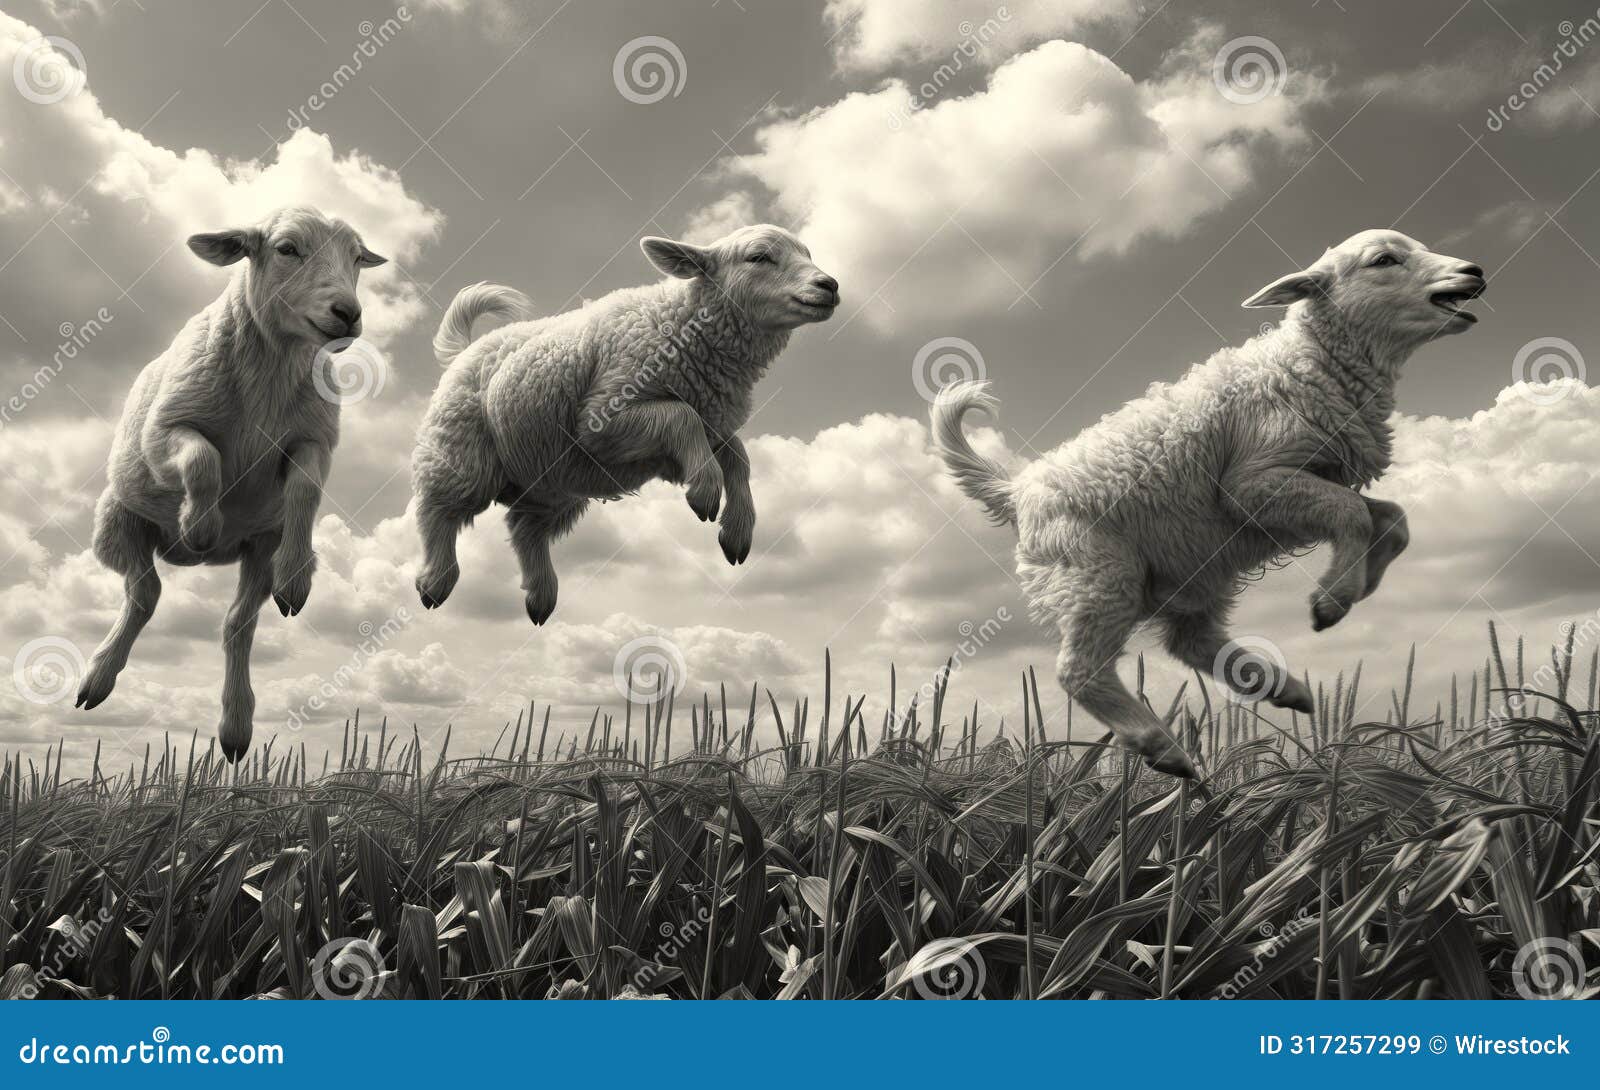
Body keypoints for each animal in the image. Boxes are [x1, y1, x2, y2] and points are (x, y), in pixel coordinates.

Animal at [75, 206, 387, 761]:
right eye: (286, 249)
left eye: (356, 258)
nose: (348, 313)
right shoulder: (165, 432)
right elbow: (204, 460)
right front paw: (199, 524)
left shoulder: (314, 442)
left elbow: (305, 490)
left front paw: (298, 577)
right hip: (115, 521)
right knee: (143, 592)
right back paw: (99, 676)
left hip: (260, 546)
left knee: (236, 625)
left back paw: (236, 726)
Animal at [409, 224, 839, 622]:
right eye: (758, 257)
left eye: (807, 253)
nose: (830, 285)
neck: (681, 325)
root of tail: (465, 350)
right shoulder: (601, 420)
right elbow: (681, 417)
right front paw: (704, 492)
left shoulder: (709, 423)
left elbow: (738, 457)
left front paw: (737, 531)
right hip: (461, 451)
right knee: (437, 508)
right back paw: (435, 581)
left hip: (553, 483)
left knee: (524, 528)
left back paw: (540, 597)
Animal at [933, 229, 1486, 778]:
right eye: (1383, 260)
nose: (1475, 271)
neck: (1310, 361)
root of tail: (1018, 491)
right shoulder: (1255, 483)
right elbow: (1354, 515)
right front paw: (1333, 599)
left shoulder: (1308, 483)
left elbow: (1393, 521)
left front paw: (1360, 584)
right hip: (1096, 574)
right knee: (1080, 669)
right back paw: (1163, 747)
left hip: (1191, 571)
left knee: (1192, 642)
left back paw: (1281, 688)